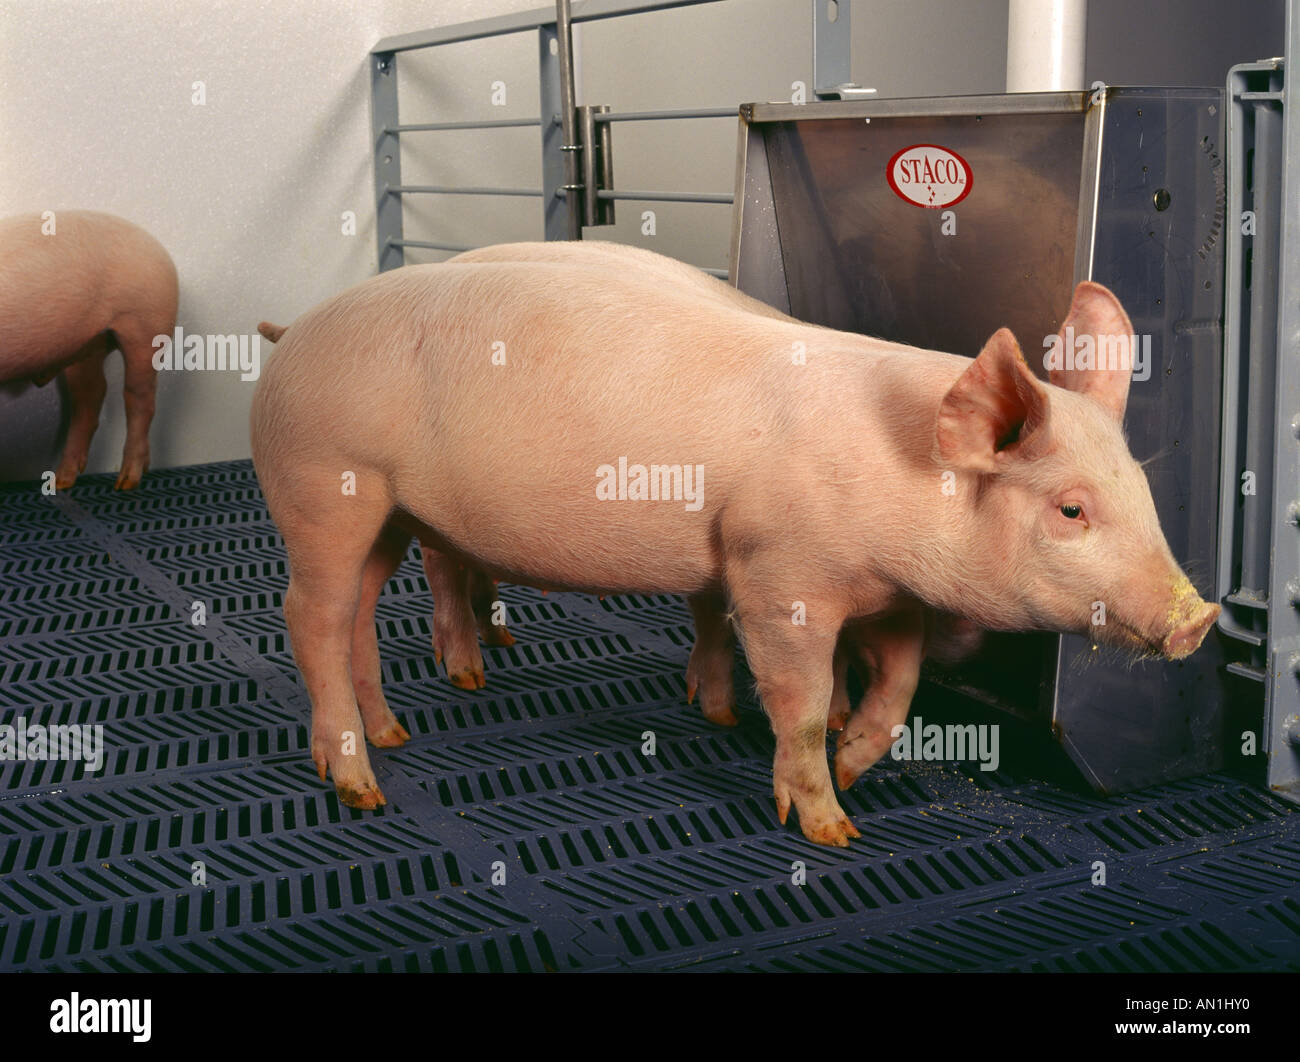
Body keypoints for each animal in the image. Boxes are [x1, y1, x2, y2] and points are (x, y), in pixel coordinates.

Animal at [0, 211, 178, 489]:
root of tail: (157, 246)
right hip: (83, 348)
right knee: (91, 395)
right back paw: (61, 482)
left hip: (147, 325)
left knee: (139, 398)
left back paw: (125, 482)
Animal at [250, 241, 1219, 846]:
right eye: (1071, 509)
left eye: (1142, 490)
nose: (1199, 617)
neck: (905, 468)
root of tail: (290, 334)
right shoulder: (778, 573)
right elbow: (799, 697)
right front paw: (833, 826)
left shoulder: (889, 595)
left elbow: (899, 684)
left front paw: (857, 765)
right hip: (324, 483)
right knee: (310, 614)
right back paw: (364, 783)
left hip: (385, 512)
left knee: (360, 613)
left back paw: (394, 736)